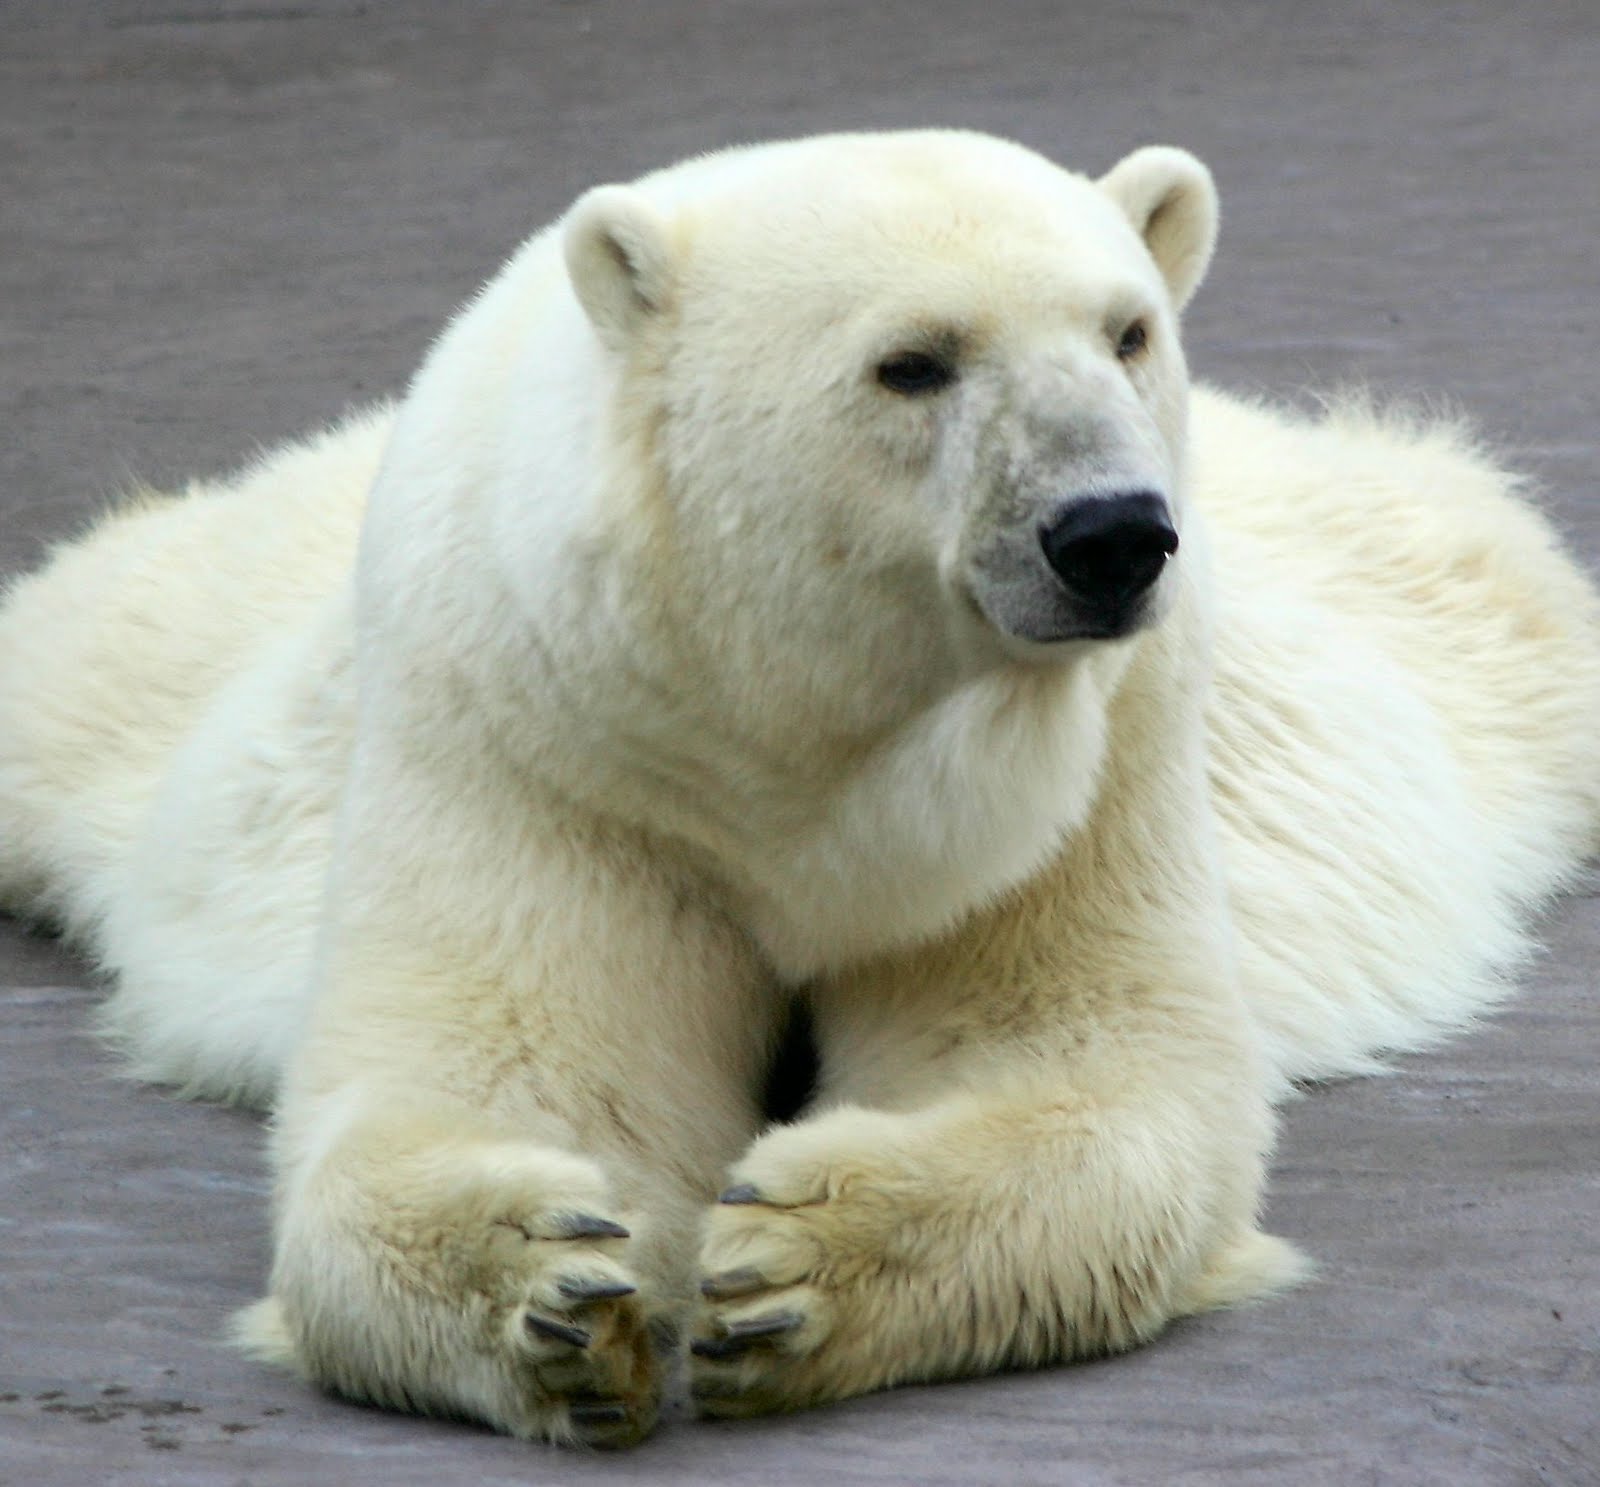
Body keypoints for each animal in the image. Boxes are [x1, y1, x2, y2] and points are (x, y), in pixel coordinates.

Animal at [1, 129, 1597, 1449]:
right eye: (914, 360)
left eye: (1128, 330)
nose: (1111, 532)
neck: (781, 716)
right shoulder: (544, 739)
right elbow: (507, 1064)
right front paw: (557, 1291)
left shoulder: (1086, 770)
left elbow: (1076, 1058)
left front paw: (784, 1265)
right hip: (202, 636)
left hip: (1425, 599)